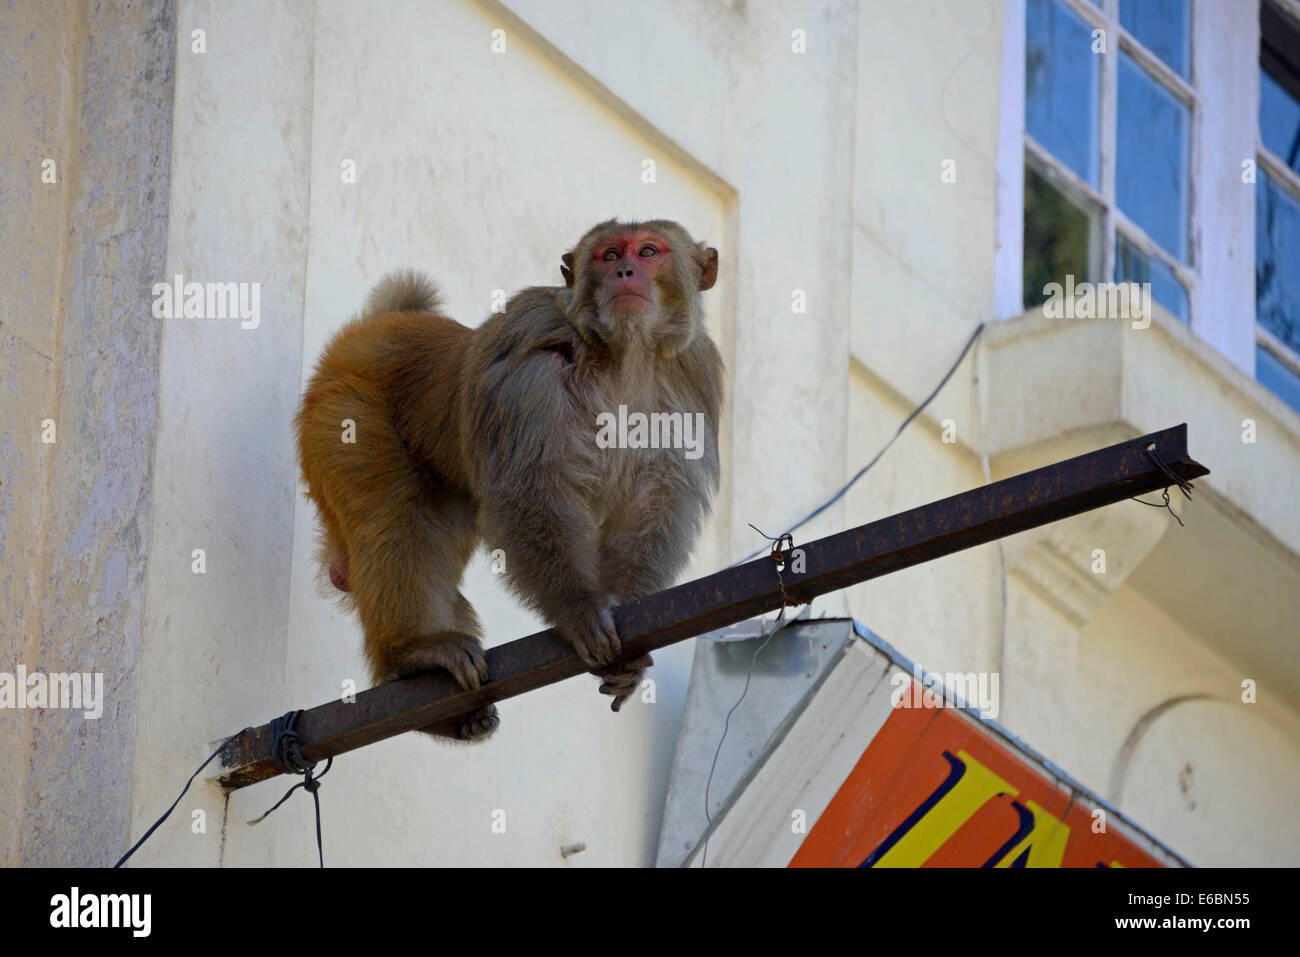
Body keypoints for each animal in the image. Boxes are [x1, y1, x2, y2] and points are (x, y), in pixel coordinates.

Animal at [295, 219, 723, 742]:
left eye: (647, 252)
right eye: (607, 255)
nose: (624, 271)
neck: (626, 355)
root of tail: (375, 327)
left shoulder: (692, 380)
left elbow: (656, 504)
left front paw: (630, 650)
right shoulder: (533, 365)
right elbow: (528, 490)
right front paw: (577, 609)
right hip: (346, 406)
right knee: (393, 512)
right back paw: (414, 654)